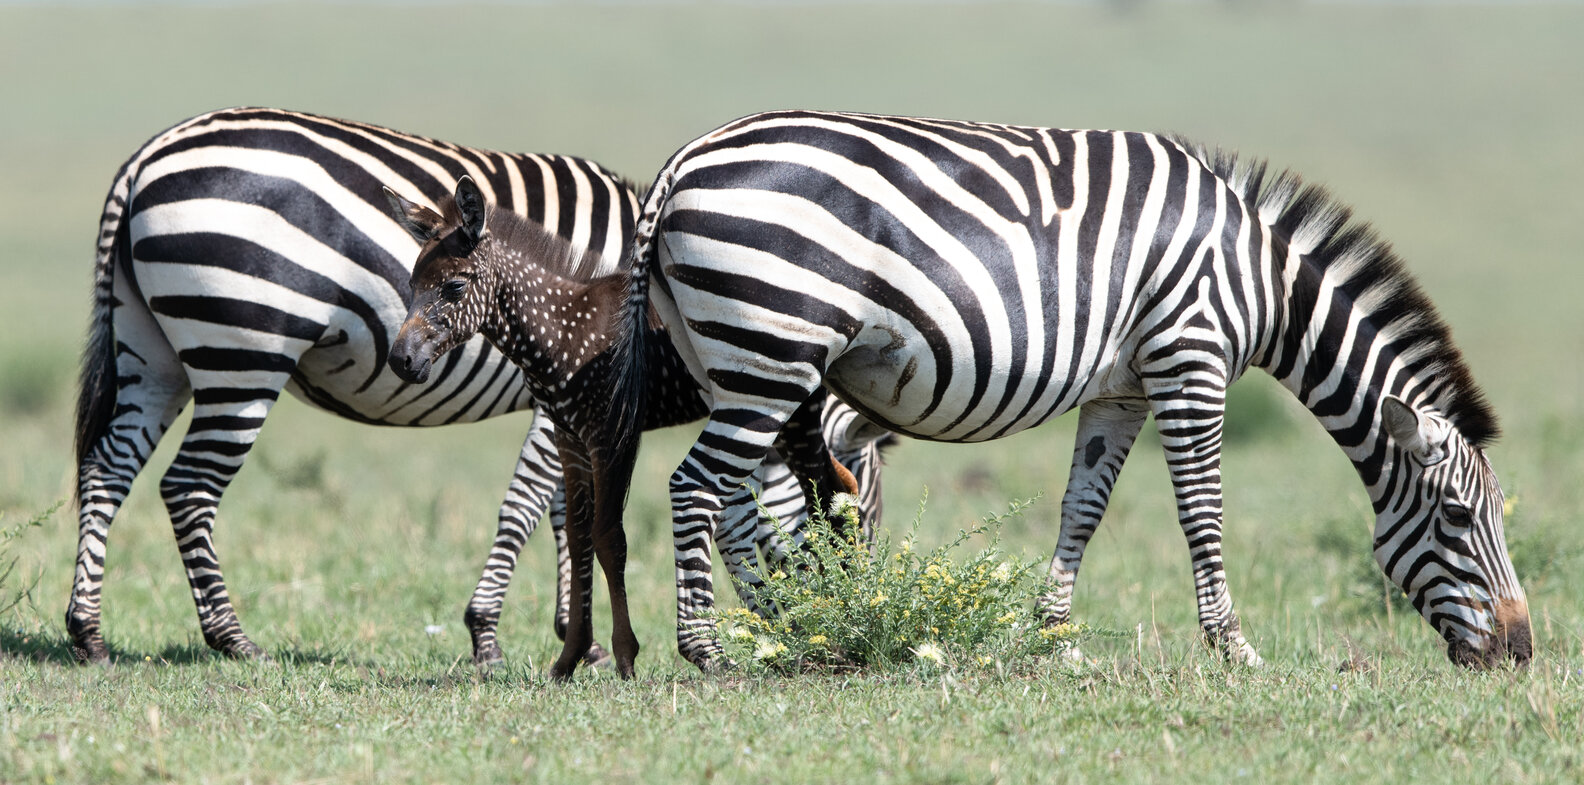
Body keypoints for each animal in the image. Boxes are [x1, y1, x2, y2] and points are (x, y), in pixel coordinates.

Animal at [69, 107, 884, 667]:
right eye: (862, 513)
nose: (842, 610)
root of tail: (147, 156)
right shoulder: (567, 396)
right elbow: (535, 505)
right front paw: (494, 635)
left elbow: (563, 509)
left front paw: (573, 636)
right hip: (241, 349)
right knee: (187, 486)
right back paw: (233, 638)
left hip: (154, 350)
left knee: (108, 470)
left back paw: (89, 634)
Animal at [614, 110, 1532, 671]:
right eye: (1459, 519)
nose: (1521, 651)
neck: (1261, 284)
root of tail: (682, 162)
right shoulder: (1189, 356)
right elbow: (1202, 509)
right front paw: (1233, 647)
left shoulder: (1121, 389)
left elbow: (1082, 508)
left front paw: (1055, 639)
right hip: (772, 351)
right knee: (693, 487)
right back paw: (709, 651)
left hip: (736, 361)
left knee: (735, 504)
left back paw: (776, 633)